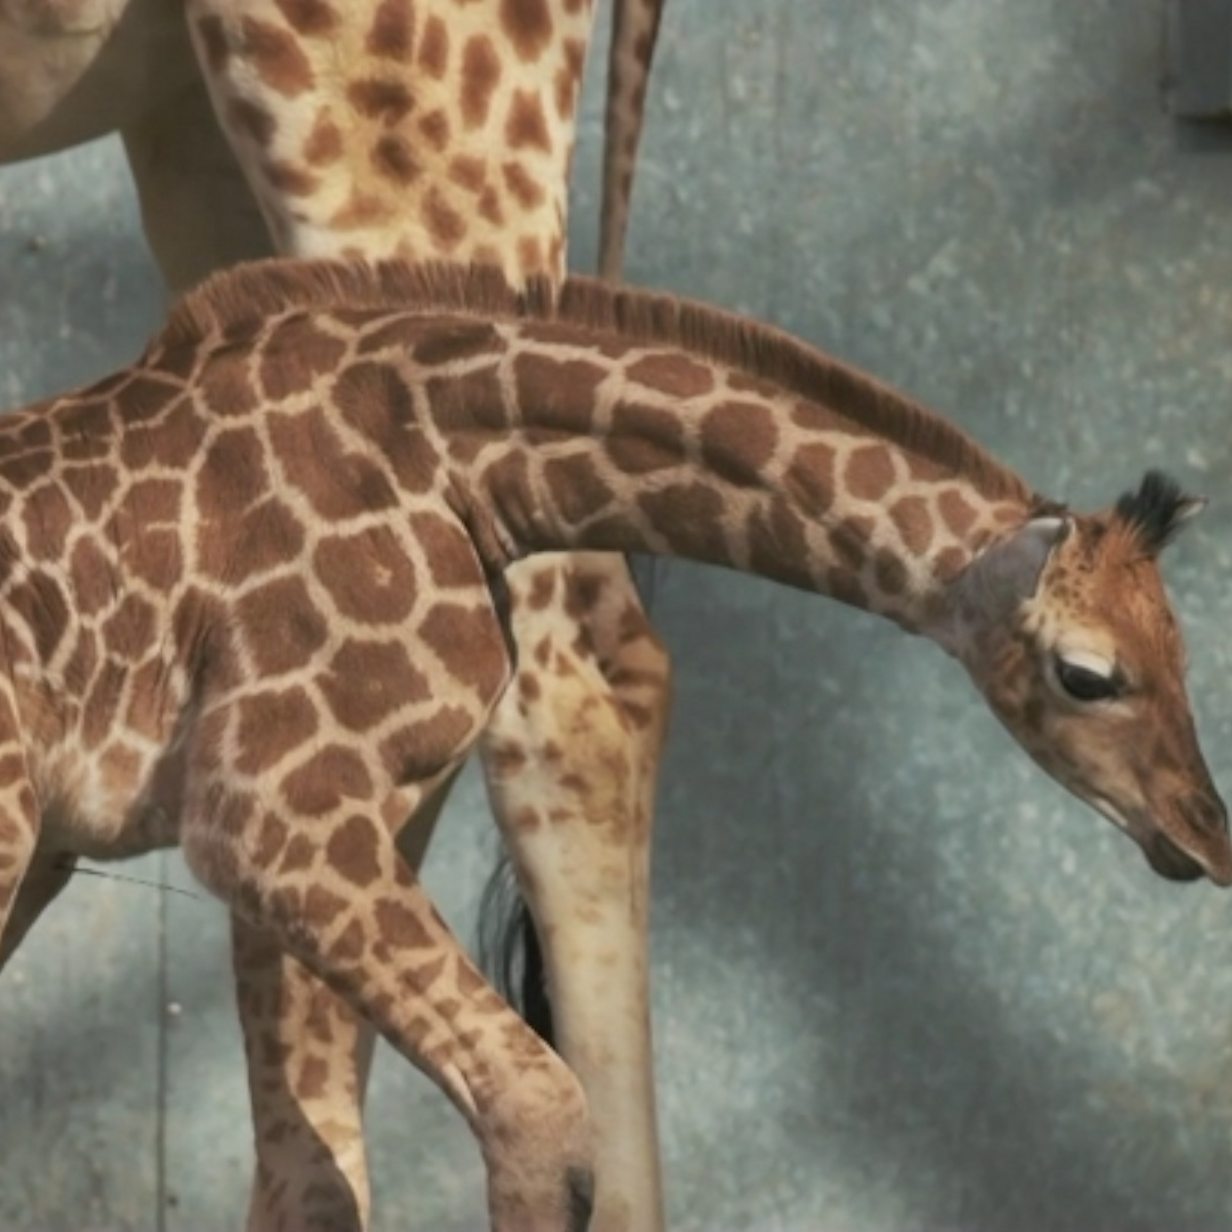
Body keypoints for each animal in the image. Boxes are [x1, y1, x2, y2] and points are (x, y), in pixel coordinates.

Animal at [0, 255, 1227, 1232]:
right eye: (1088, 675)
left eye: (1184, 651)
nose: (1203, 836)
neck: (459, 459)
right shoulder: (262, 805)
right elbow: (539, 1109)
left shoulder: (280, 819)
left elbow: (324, 1163)